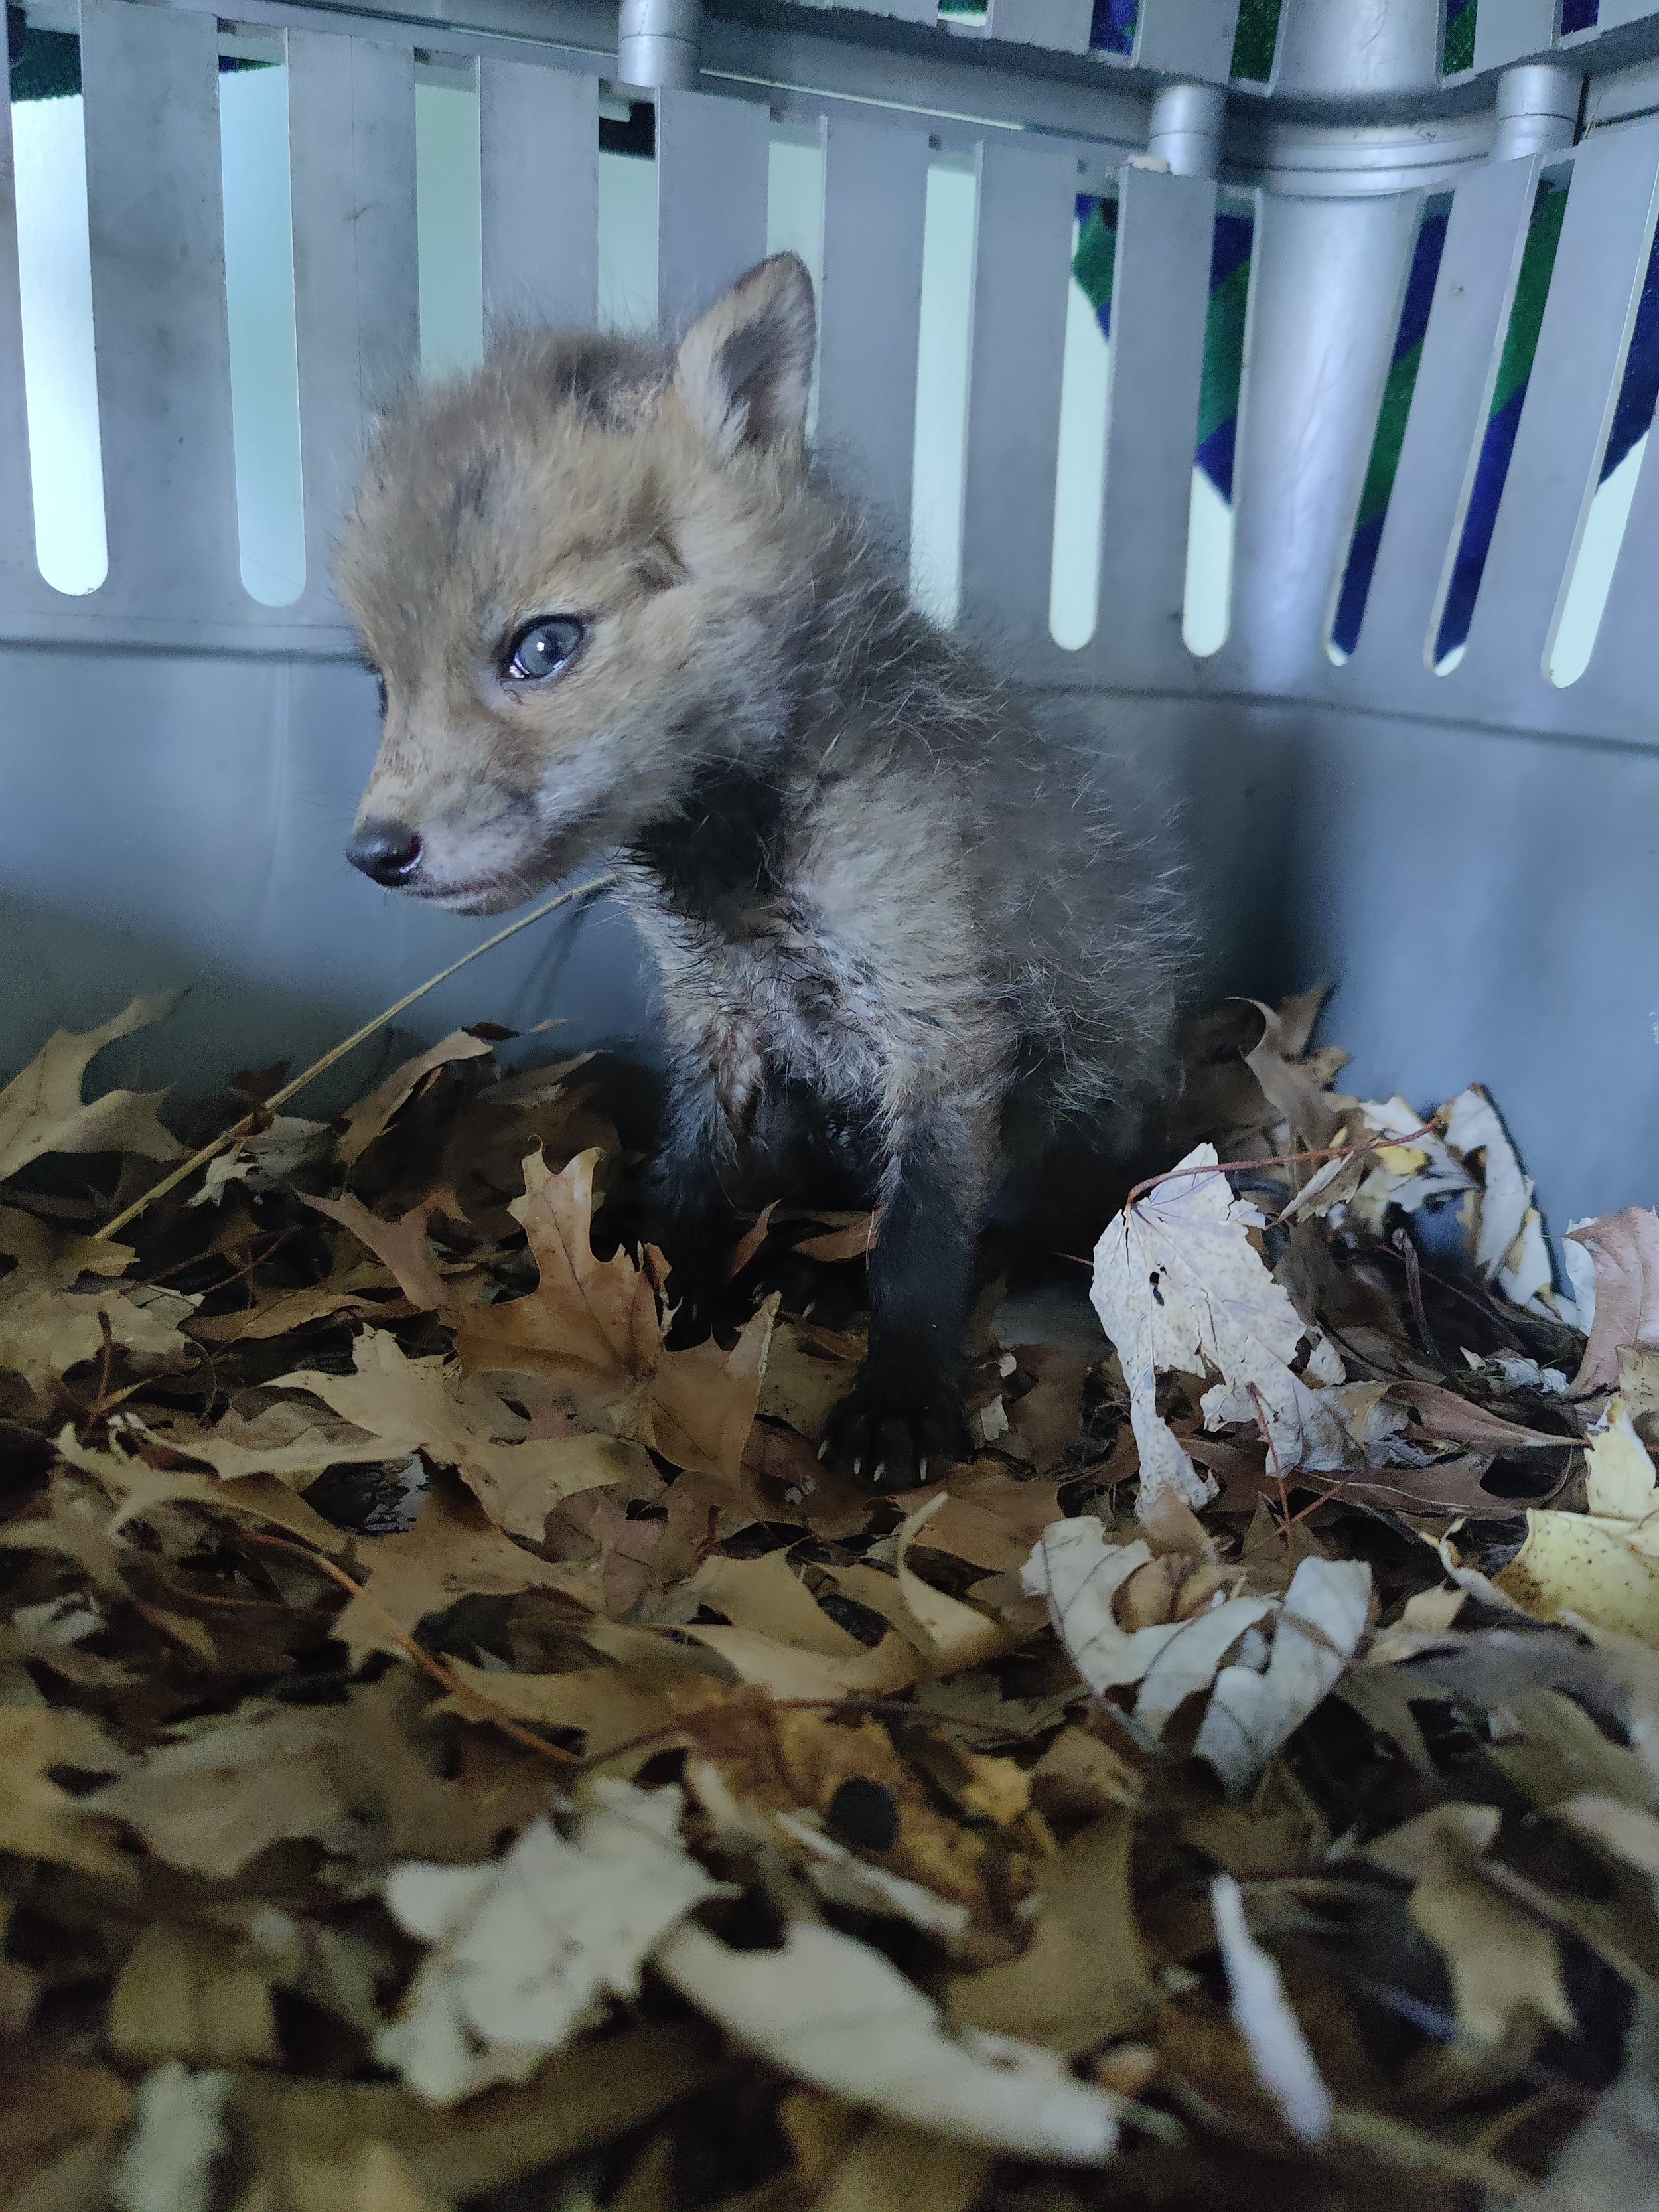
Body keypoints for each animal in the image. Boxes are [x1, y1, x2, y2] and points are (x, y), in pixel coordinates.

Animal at [336, 251, 1186, 1485]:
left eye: (542, 647)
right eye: (383, 686)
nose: (374, 853)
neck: (737, 871)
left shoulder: (940, 1028)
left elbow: (917, 1247)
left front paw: (897, 1401)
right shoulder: (718, 1015)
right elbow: (685, 1182)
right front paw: (656, 1299)